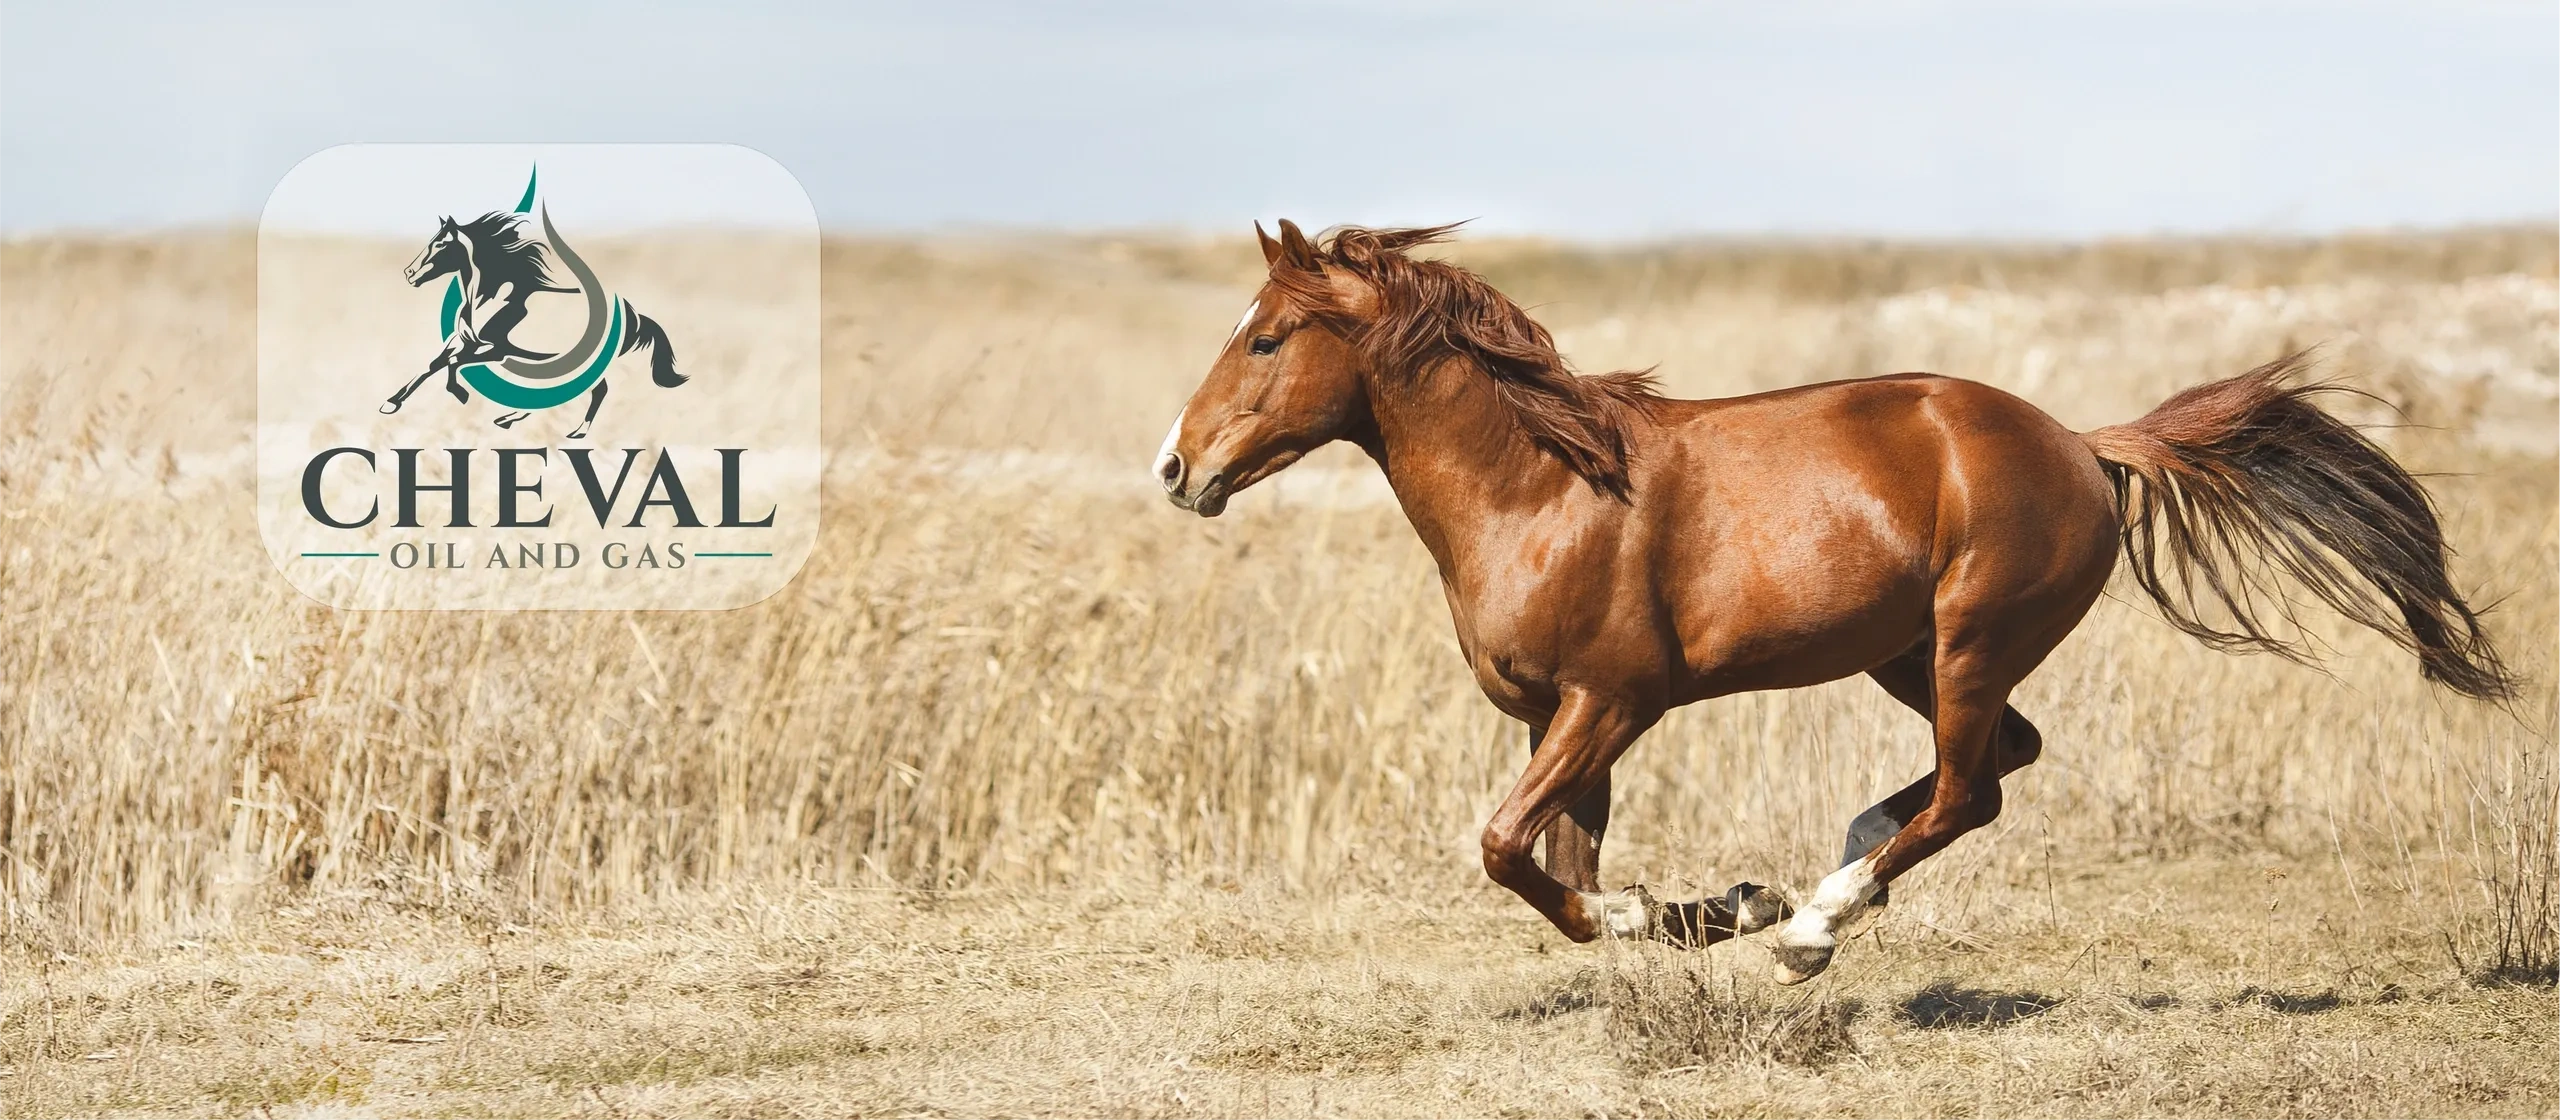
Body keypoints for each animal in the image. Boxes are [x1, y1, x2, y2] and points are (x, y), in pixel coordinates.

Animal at [390, 209, 686, 439]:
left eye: (441, 245)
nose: (409, 273)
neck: (487, 297)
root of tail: (634, 314)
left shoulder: (497, 350)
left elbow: (452, 364)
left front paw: (460, 393)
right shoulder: (462, 341)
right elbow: (433, 364)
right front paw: (391, 403)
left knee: (590, 391)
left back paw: (569, 430)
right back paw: (514, 420)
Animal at [1153, 220, 2514, 984]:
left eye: (1267, 338)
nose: (1177, 469)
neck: (1540, 489)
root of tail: (2081, 442)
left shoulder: (1613, 702)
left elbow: (1501, 848)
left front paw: (1732, 911)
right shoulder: (1556, 720)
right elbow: (1565, 874)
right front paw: (1702, 910)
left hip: (1967, 644)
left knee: (1971, 790)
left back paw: (1818, 924)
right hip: (1907, 655)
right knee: (1999, 765)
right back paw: (1829, 875)